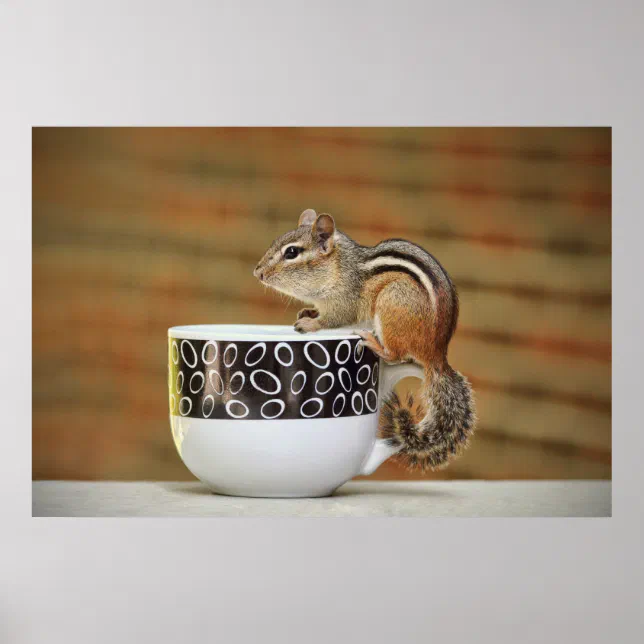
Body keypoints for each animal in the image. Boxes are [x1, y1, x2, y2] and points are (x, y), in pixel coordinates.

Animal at [253, 208, 476, 471]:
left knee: (396, 354)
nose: (257, 272)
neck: (339, 267)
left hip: (392, 303)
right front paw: (307, 312)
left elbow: (335, 319)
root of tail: (437, 355)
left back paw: (371, 341)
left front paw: (310, 324)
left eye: (291, 253)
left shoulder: (344, 301)